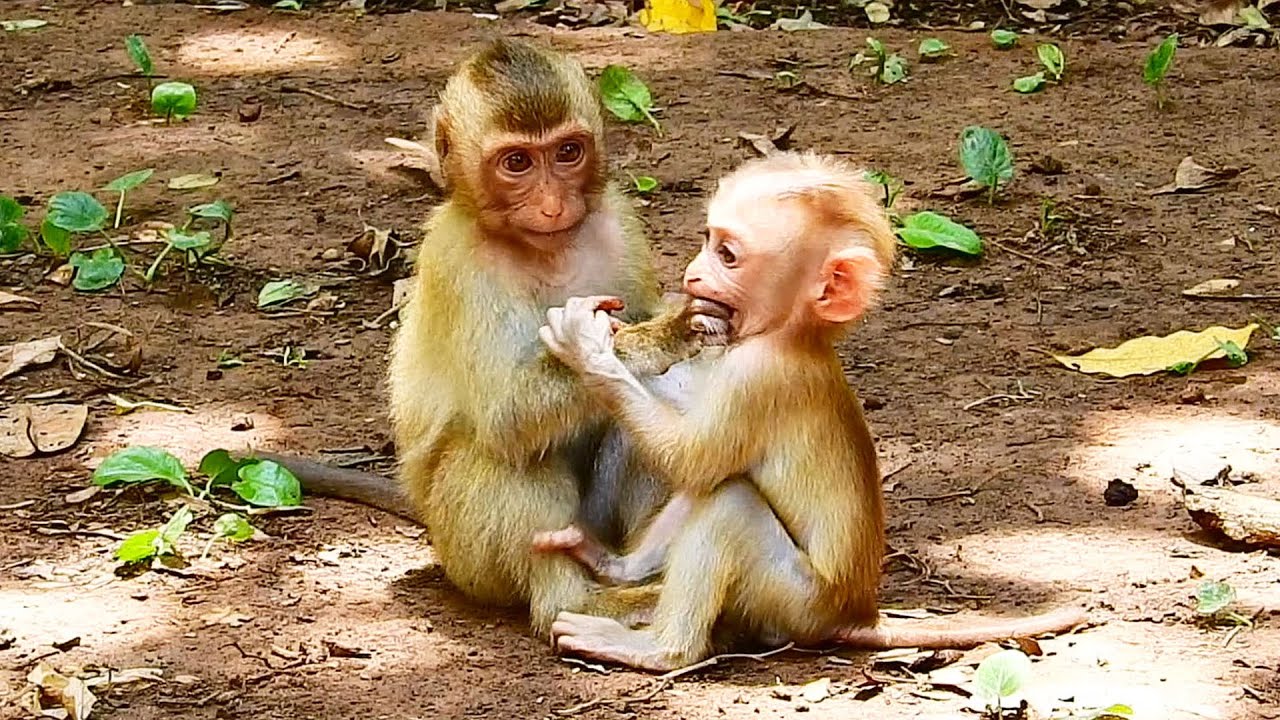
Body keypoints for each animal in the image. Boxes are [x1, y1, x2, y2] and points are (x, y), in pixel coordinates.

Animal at [534, 151, 1087, 671]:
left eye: (727, 255)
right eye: (708, 241)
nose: (692, 276)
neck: (789, 334)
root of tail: (853, 613)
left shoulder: (760, 377)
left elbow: (692, 457)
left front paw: (589, 348)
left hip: (792, 598)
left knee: (729, 499)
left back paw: (660, 650)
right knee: (721, 482)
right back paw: (615, 567)